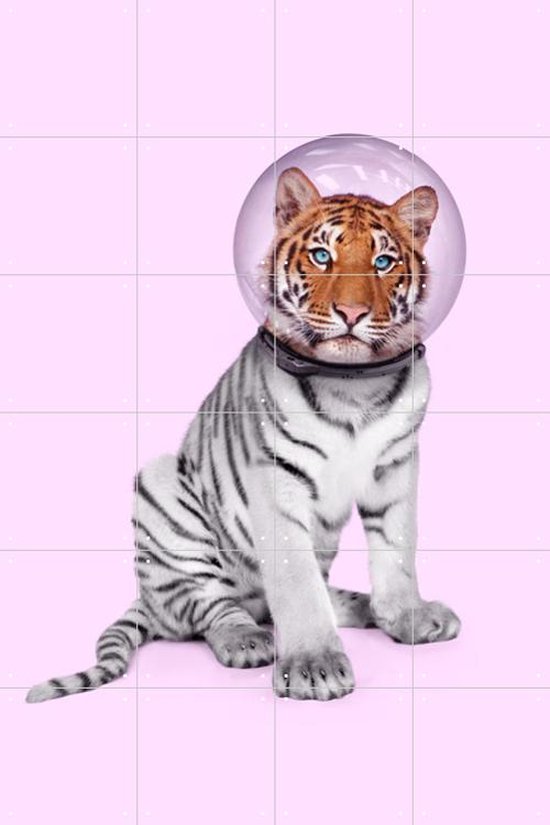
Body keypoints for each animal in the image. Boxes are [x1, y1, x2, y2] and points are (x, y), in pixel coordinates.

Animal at [26, 166, 460, 704]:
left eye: (383, 262)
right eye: (322, 256)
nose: (352, 314)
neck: (352, 386)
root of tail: (146, 599)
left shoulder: (395, 467)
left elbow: (398, 548)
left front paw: (407, 615)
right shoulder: (277, 479)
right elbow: (295, 582)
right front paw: (314, 665)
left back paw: (361, 607)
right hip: (162, 492)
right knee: (211, 606)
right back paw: (247, 639)